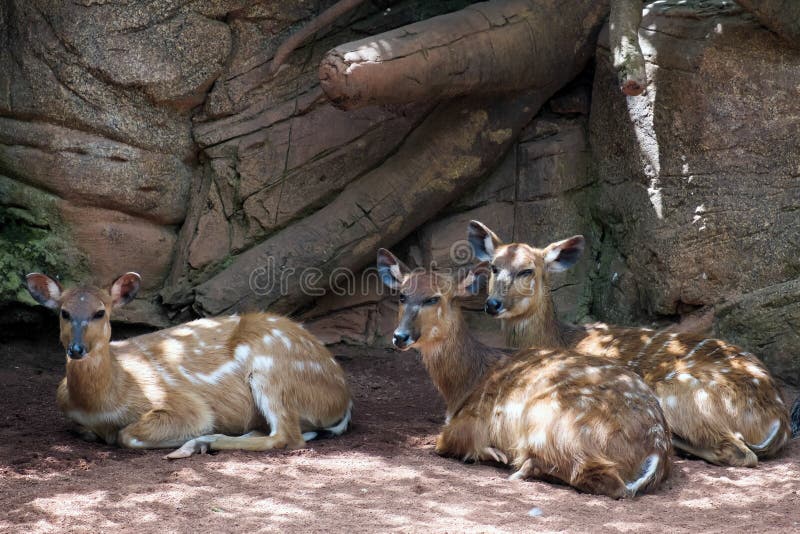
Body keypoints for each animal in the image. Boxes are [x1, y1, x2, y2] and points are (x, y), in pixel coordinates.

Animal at [25, 272, 352, 459]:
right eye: (64, 312)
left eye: (100, 312)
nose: (76, 349)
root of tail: (342, 398)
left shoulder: (184, 404)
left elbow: (126, 435)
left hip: (270, 369)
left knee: (287, 436)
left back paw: (199, 444)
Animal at [377, 249, 671, 498]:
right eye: (402, 295)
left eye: (433, 298)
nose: (399, 336)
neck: (465, 384)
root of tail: (657, 448)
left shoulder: (471, 420)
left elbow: (443, 441)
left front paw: (488, 452)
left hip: (553, 421)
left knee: (603, 478)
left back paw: (518, 465)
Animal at [468, 220, 791, 467]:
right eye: (494, 267)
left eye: (527, 270)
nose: (492, 304)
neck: (561, 338)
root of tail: (779, 420)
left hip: (680, 391)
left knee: (740, 451)